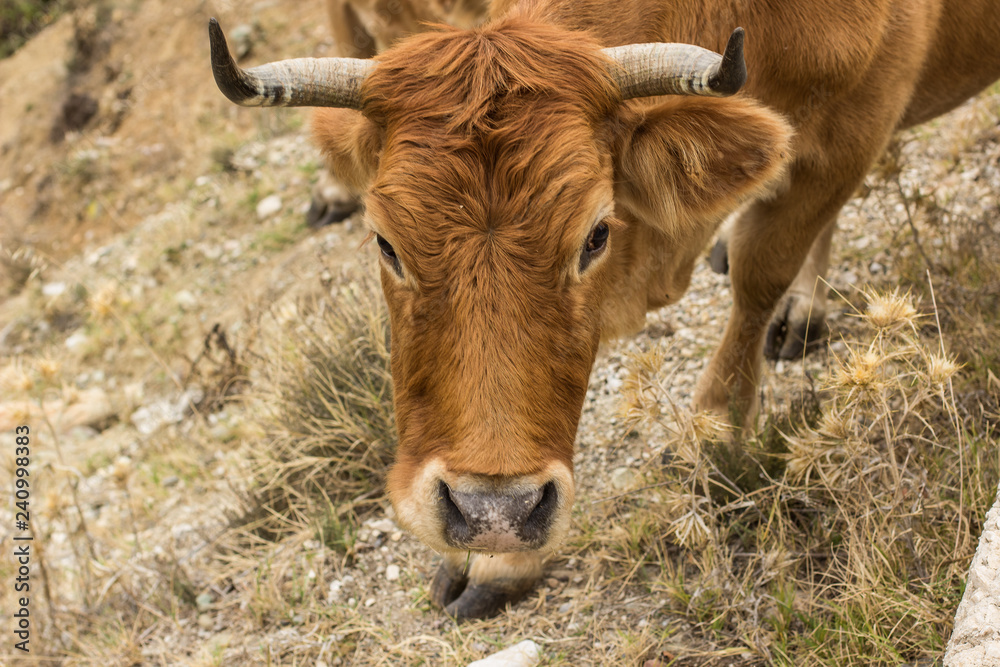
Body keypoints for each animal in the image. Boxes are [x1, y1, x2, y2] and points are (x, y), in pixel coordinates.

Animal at [209, 0, 1000, 619]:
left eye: (594, 235)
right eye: (386, 243)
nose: (493, 512)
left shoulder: (852, 131)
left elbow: (759, 271)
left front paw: (708, 438)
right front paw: (499, 560)